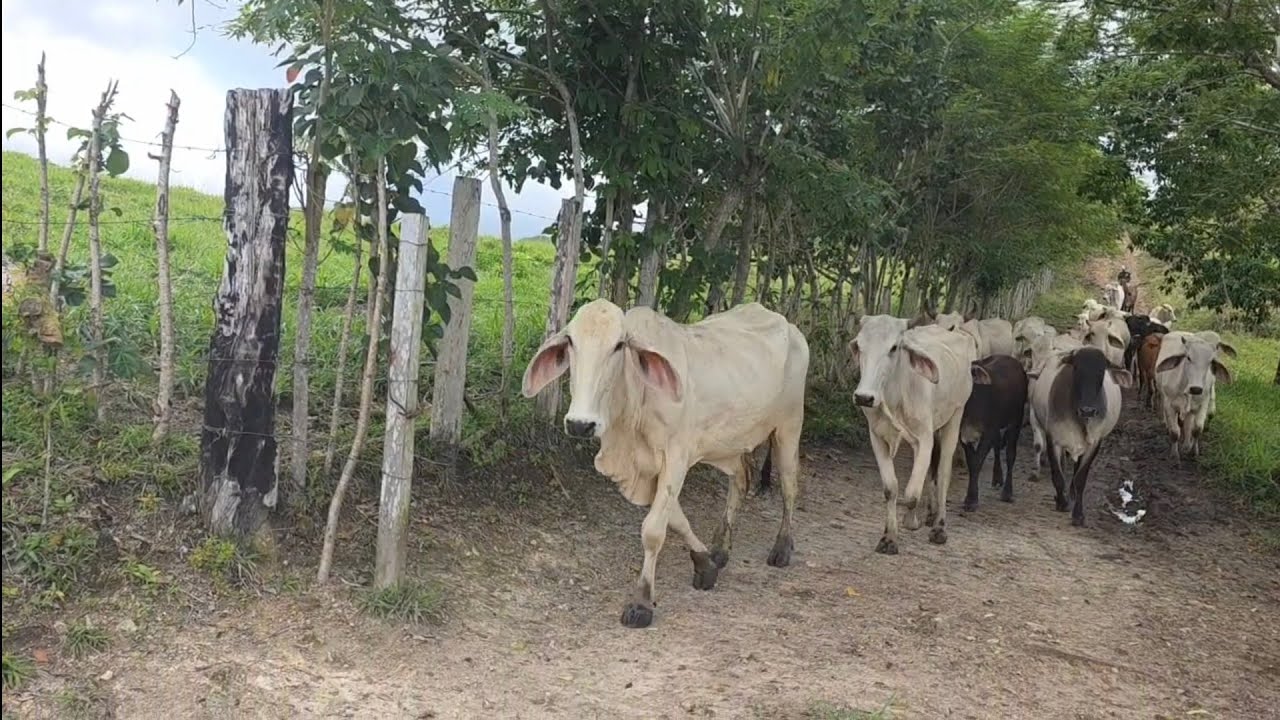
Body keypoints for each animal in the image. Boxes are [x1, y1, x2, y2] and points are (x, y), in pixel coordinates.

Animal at [520, 299, 809, 628]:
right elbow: (676, 520)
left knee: (789, 485)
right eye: (570, 341)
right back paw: (721, 548)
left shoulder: (676, 458)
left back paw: (782, 547)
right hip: (732, 443)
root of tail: (788, 325)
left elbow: (653, 530)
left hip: (789, 427)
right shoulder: (651, 471)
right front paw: (705, 563)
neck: (636, 400)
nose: (580, 424)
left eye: (619, 345)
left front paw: (642, 602)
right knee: (740, 481)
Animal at [851, 315, 978, 552]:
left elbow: (911, 494)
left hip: (956, 415)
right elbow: (891, 488)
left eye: (893, 347)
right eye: (860, 346)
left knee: (943, 474)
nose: (864, 397)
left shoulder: (925, 439)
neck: (896, 394)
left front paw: (911, 521)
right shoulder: (877, 438)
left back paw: (939, 527)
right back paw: (927, 514)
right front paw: (889, 537)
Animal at [958, 354, 1028, 511]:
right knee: (997, 447)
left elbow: (977, 462)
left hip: (1016, 420)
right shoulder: (963, 434)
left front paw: (971, 500)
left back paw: (1007, 492)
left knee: (1010, 454)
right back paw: (997, 477)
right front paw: (970, 497)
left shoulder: (988, 432)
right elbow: (972, 461)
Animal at [1029, 346, 1132, 526]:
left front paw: (1078, 514)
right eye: (1076, 369)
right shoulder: (1053, 438)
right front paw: (1061, 502)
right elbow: (1058, 475)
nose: (1088, 411)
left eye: (1101, 372)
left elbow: (1080, 479)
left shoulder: (1094, 443)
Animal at [1155, 332, 1233, 461]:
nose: (1196, 388)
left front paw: (1193, 451)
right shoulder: (1169, 404)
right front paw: (1174, 455)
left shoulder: (1203, 403)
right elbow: (1174, 432)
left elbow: (1196, 429)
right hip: (1162, 394)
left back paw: (1187, 444)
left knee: (1188, 423)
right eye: (1188, 357)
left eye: (1210, 361)